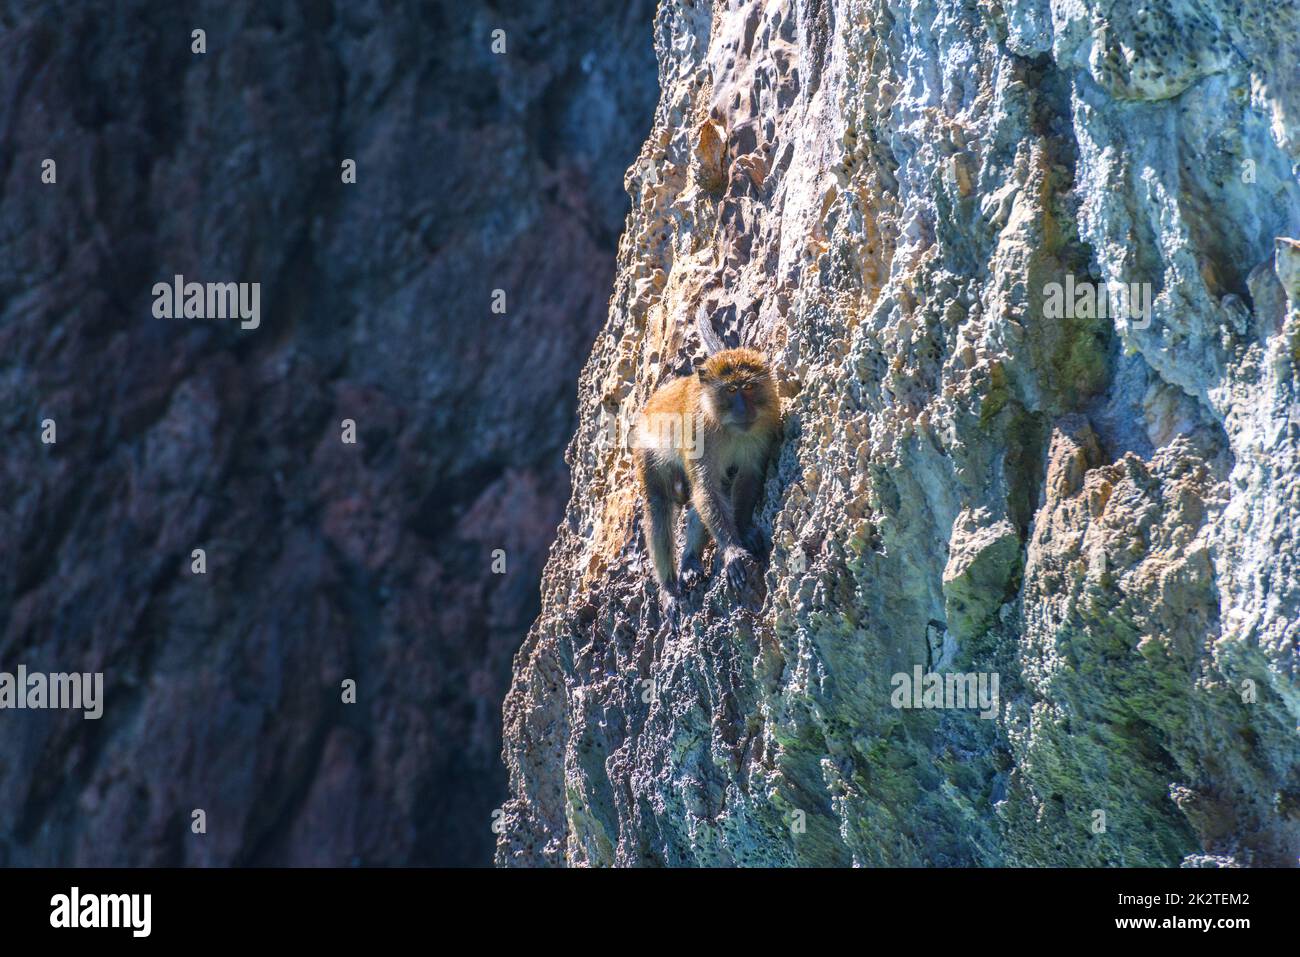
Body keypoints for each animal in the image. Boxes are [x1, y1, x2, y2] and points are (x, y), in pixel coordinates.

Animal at [633, 315, 781, 619]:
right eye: (731, 390)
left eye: (749, 388)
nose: (743, 410)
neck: (726, 426)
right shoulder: (697, 434)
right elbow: (706, 489)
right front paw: (733, 550)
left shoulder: (764, 427)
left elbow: (747, 476)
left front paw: (742, 530)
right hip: (648, 452)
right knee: (660, 506)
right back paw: (668, 586)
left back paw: (690, 560)